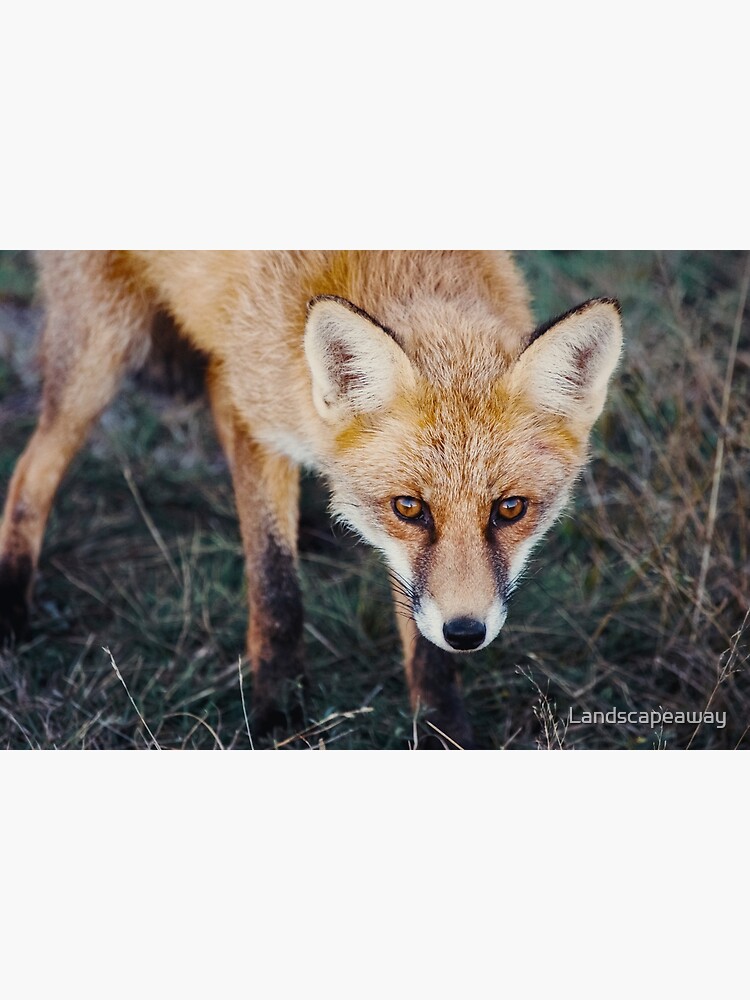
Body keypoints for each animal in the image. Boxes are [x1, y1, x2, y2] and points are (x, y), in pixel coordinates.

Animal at [0, 251, 622, 748]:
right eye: (409, 508)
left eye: (510, 509)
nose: (465, 633)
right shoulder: (254, 418)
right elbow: (275, 587)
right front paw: (277, 708)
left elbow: (416, 629)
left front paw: (441, 725)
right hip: (99, 352)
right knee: (30, 473)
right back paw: (13, 603)